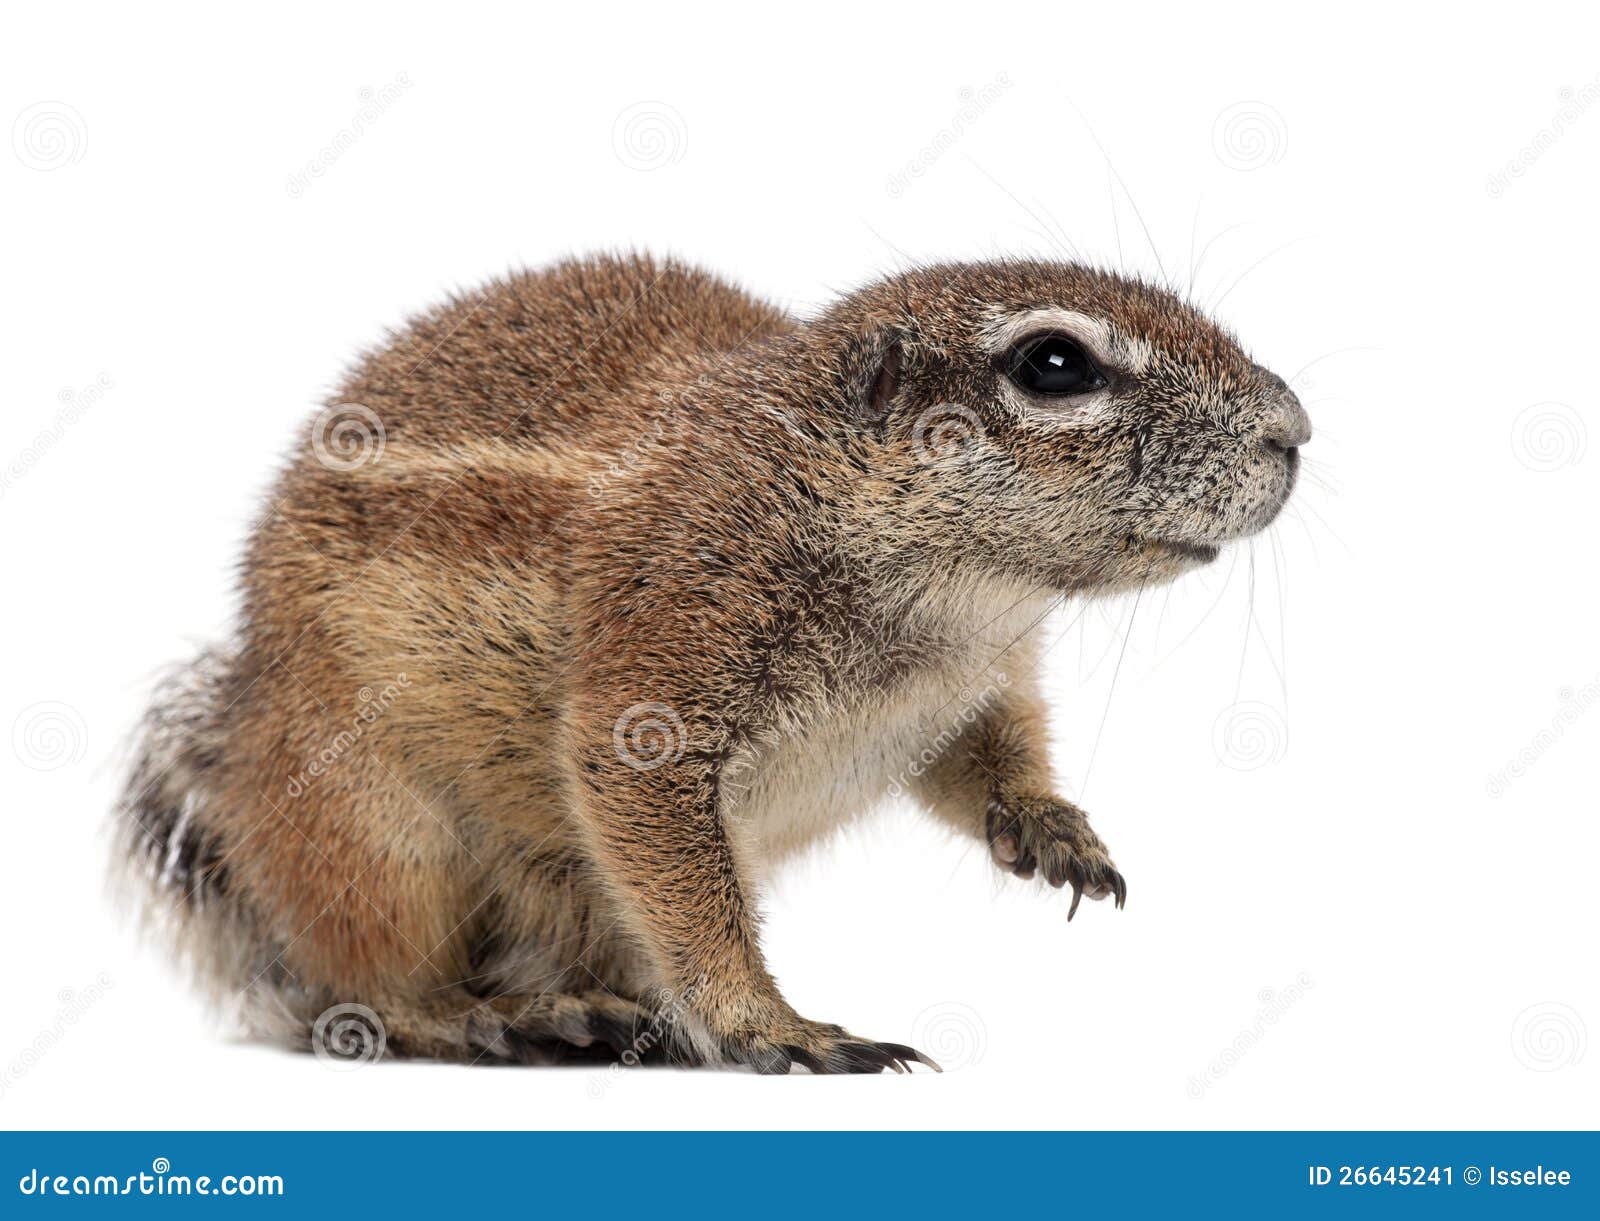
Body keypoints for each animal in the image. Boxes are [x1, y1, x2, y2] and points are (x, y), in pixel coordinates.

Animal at [116, 253, 1309, 1073]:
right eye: (1054, 363)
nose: (1293, 428)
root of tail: (244, 737)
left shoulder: (975, 685)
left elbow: (982, 758)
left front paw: (1053, 830)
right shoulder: (661, 662)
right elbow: (678, 874)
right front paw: (772, 1025)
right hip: (369, 831)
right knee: (359, 987)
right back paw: (483, 1017)